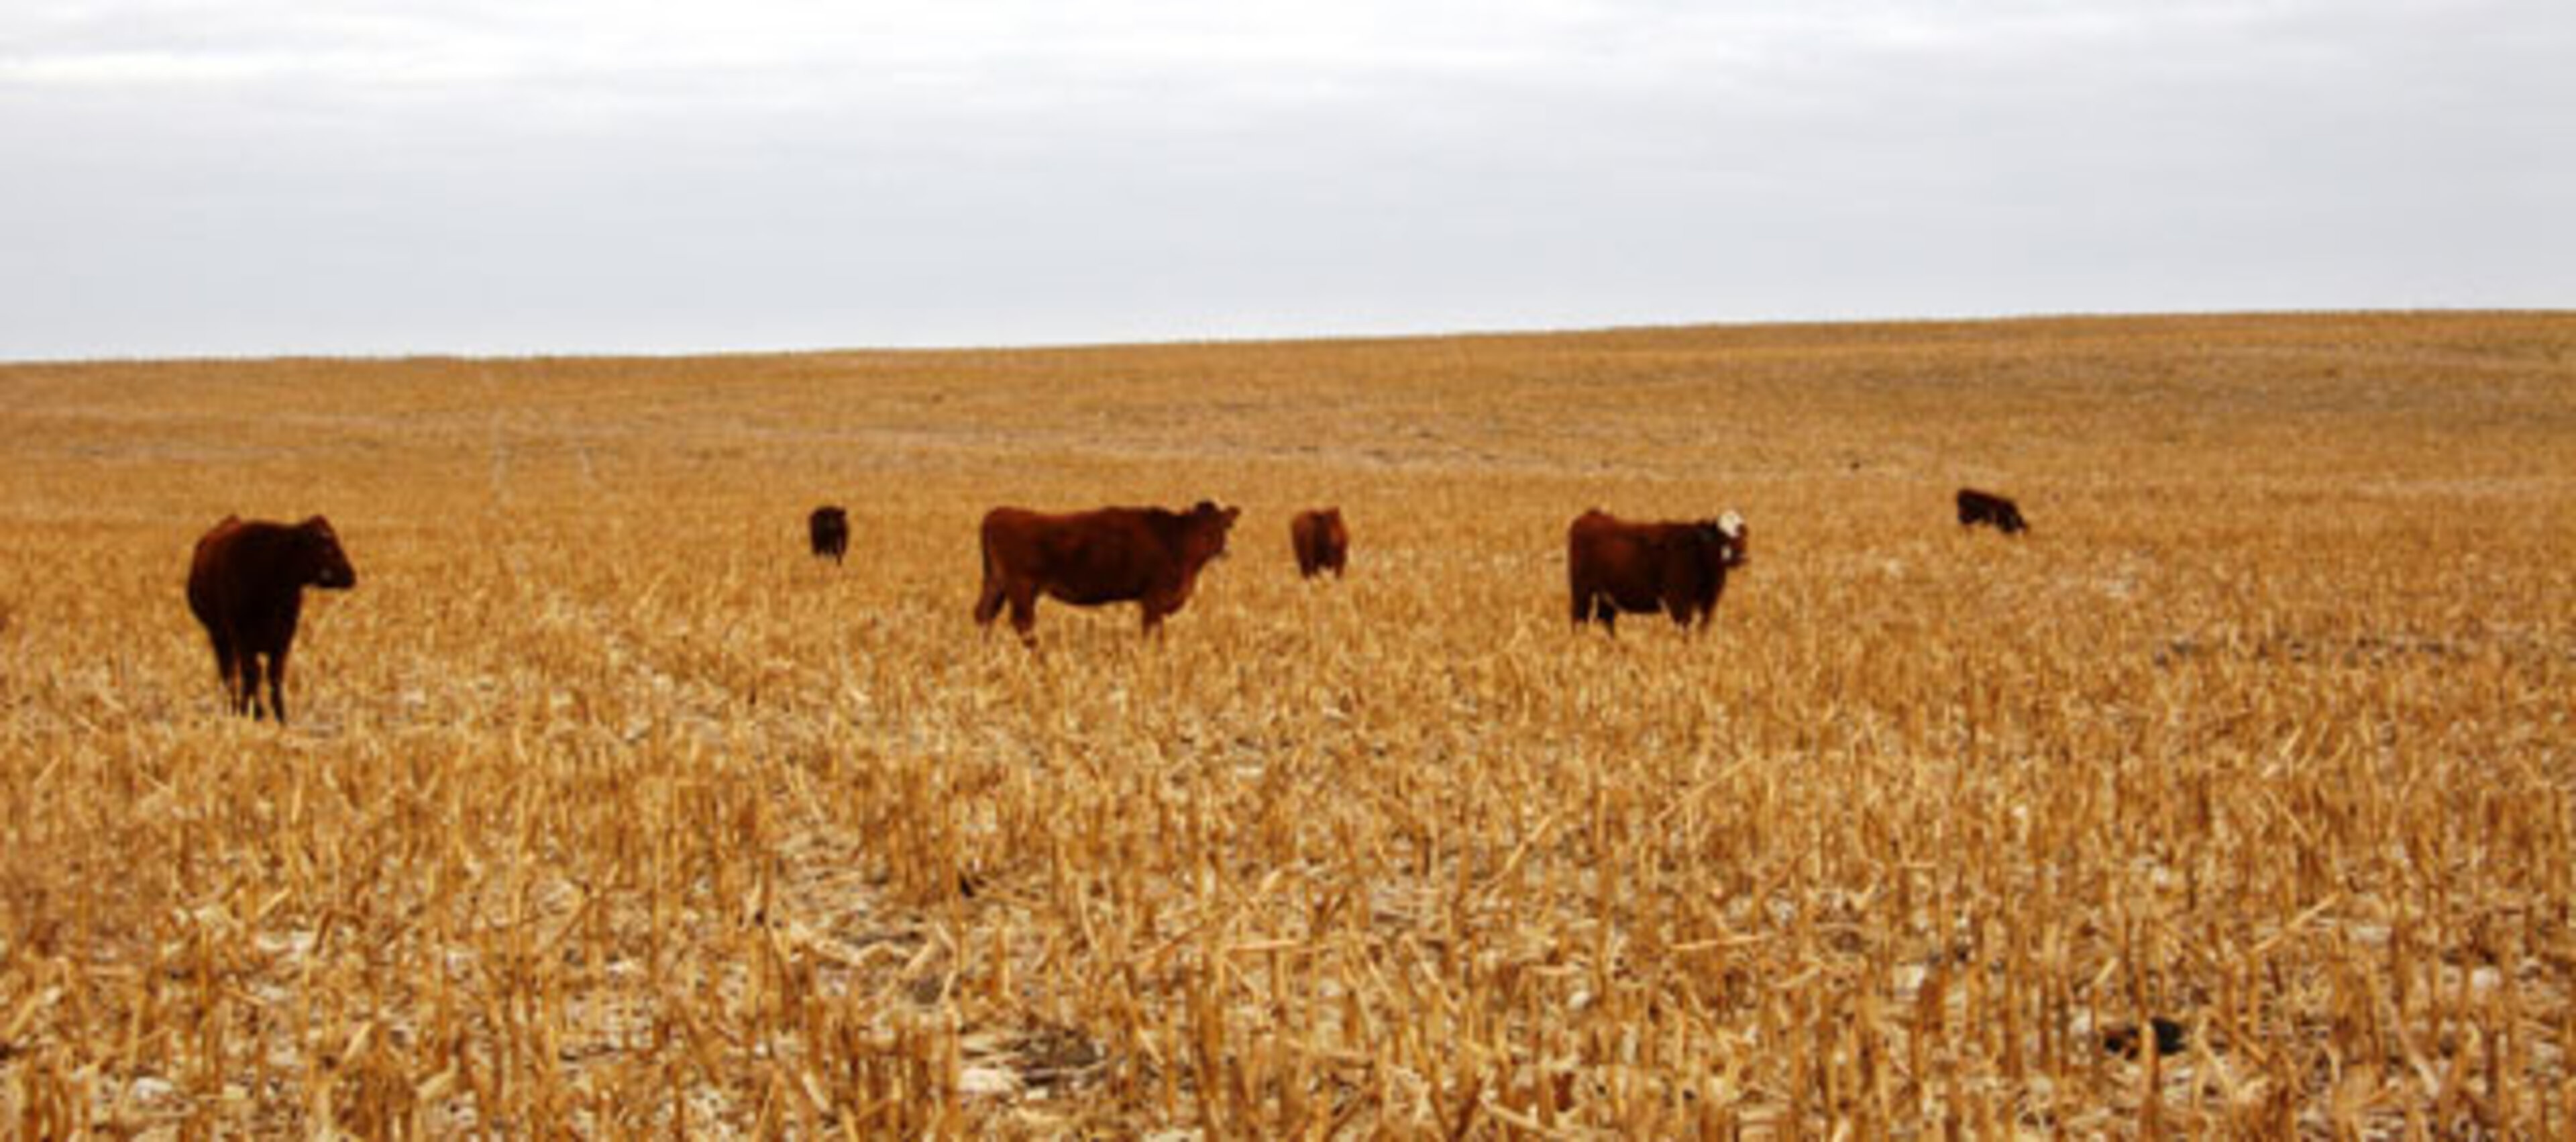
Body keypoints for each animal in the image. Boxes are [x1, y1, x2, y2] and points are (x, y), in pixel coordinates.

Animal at [185, 515, 357, 723]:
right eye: (326, 546)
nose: (351, 575)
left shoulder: (284, 638)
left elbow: (274, 675)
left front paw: (280, 715)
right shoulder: (242, 637)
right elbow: (252, 673)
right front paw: (254, 711)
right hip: (219, 636)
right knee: (229, 673)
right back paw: (234, 706)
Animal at [974, 501, 1241, 640]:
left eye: (1223, 525)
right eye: (1201, 527)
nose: (1219, 547)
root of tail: (999, 513)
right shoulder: (1153, 598)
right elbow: (1153, 632)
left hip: (996, 582)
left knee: (984, 615)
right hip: (1022, 587)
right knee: (1023, 624)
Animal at [1567, 509, 1747, 633]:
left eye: (1745, 536)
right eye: (1721, 536)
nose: (1740, 557)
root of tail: (1592, 515)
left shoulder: (1708, 603)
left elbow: (1702, 630)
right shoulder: (1678, 602)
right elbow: (1684, 631)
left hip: (1607, 596)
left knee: (1605, 620)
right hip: (1582, 592)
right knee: (1579, 619)